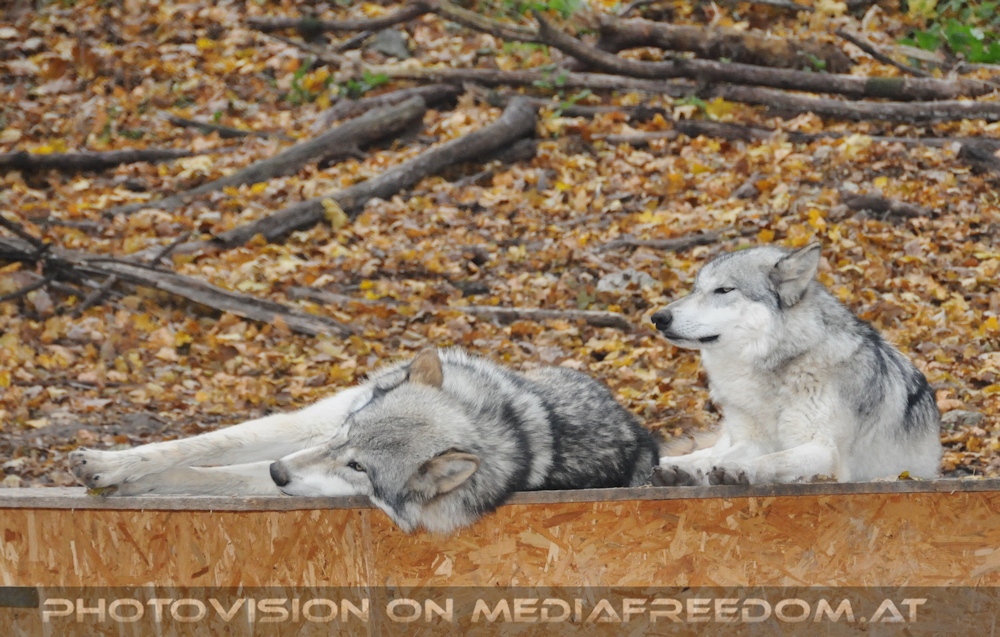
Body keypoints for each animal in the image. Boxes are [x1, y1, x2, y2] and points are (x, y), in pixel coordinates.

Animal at [70, 348, 659, 533]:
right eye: (345, 437)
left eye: (360, 469)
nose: (280, 473)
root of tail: (641, 431)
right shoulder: (316, 425)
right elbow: (204, 445)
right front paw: (109, 464)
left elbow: (218, 476)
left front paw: (132, 486)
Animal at [649, 243, 942, 486]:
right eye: (695, 290)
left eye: (723, 290)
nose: (658, 317)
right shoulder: (752, 440)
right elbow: (716, 458)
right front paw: (693, 469)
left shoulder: (824, 451)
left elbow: (773, 459)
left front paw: (739, 469)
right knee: (706, 451)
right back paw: (673, 464)